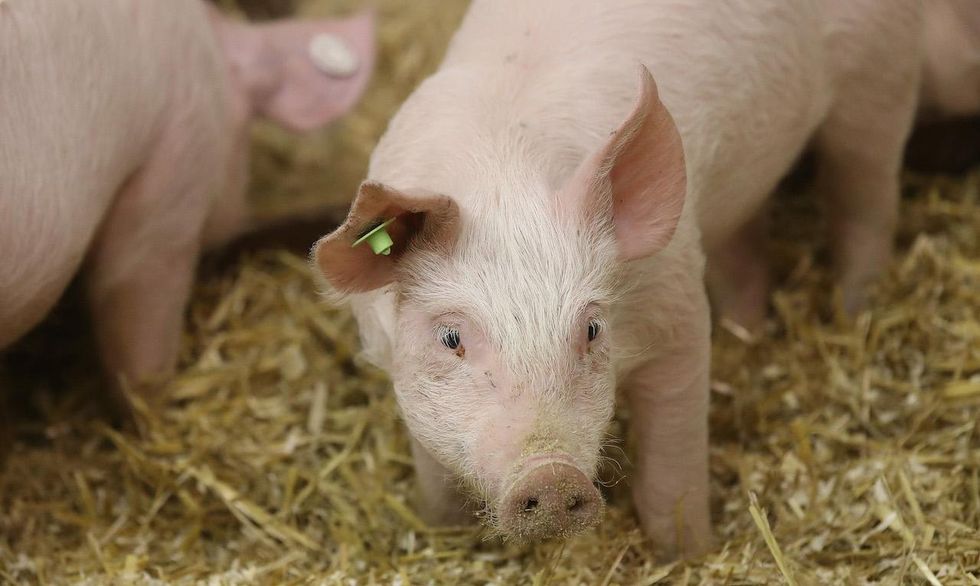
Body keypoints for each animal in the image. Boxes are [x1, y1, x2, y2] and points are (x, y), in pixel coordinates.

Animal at [313, 0, 922, 558]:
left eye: (592, 329)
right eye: (450, 337)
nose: (551, 475)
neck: (502, 174)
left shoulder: (676, 306)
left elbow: (672, 458)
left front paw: (689, 554)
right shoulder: (389, 352)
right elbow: (432, 468)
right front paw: (443, 532)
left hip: (878, 78)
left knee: (865, 199)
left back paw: (854, 310)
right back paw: (746, 331)